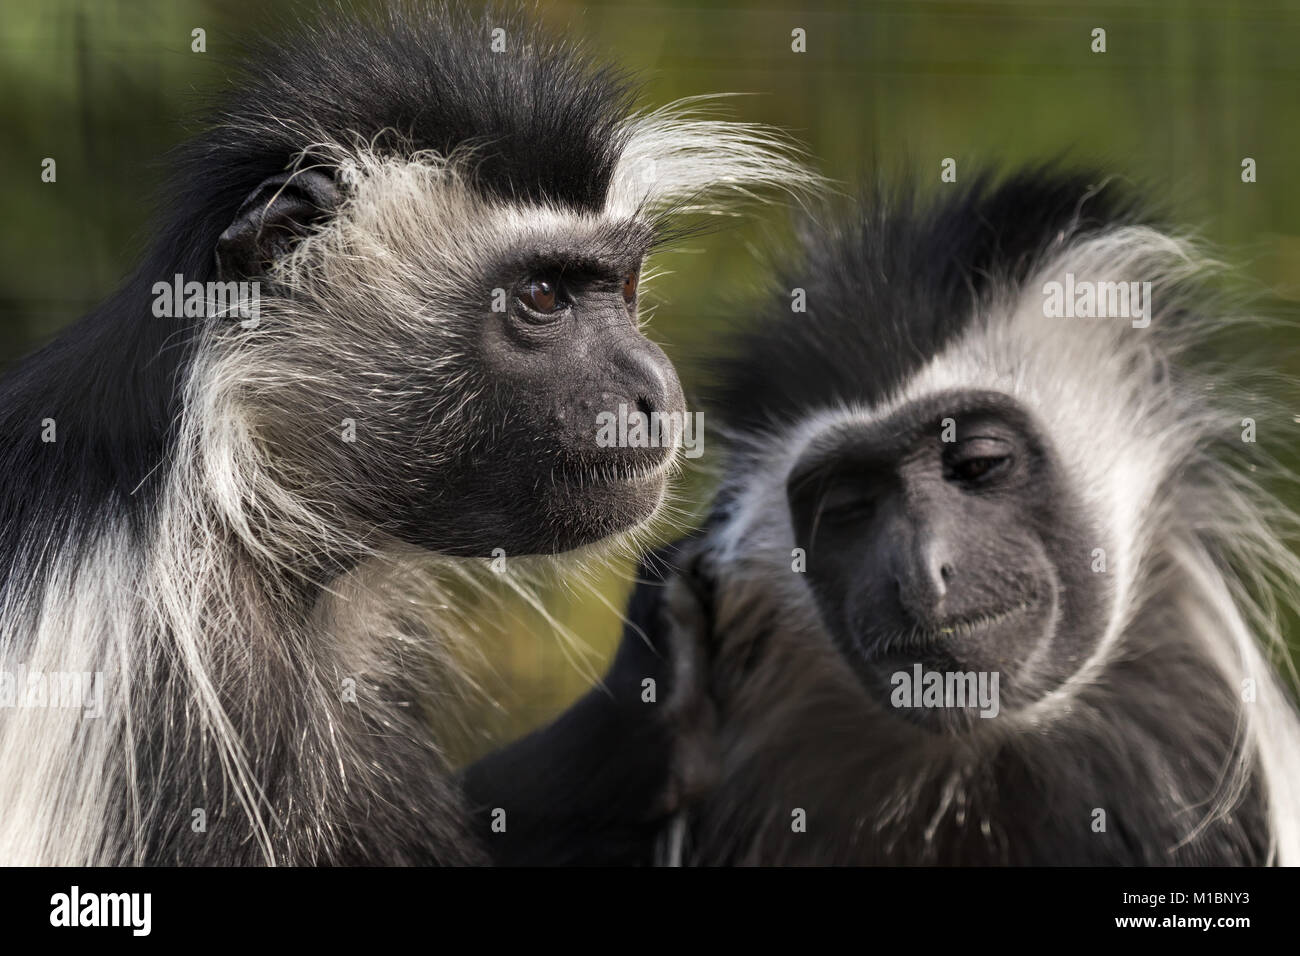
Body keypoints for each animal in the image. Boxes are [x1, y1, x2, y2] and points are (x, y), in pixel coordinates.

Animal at [0, 3, 816, 865]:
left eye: (623, 285)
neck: (237, 498)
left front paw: (651, 707)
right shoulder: (151, 683)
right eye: (541, 295)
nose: (657, 391)